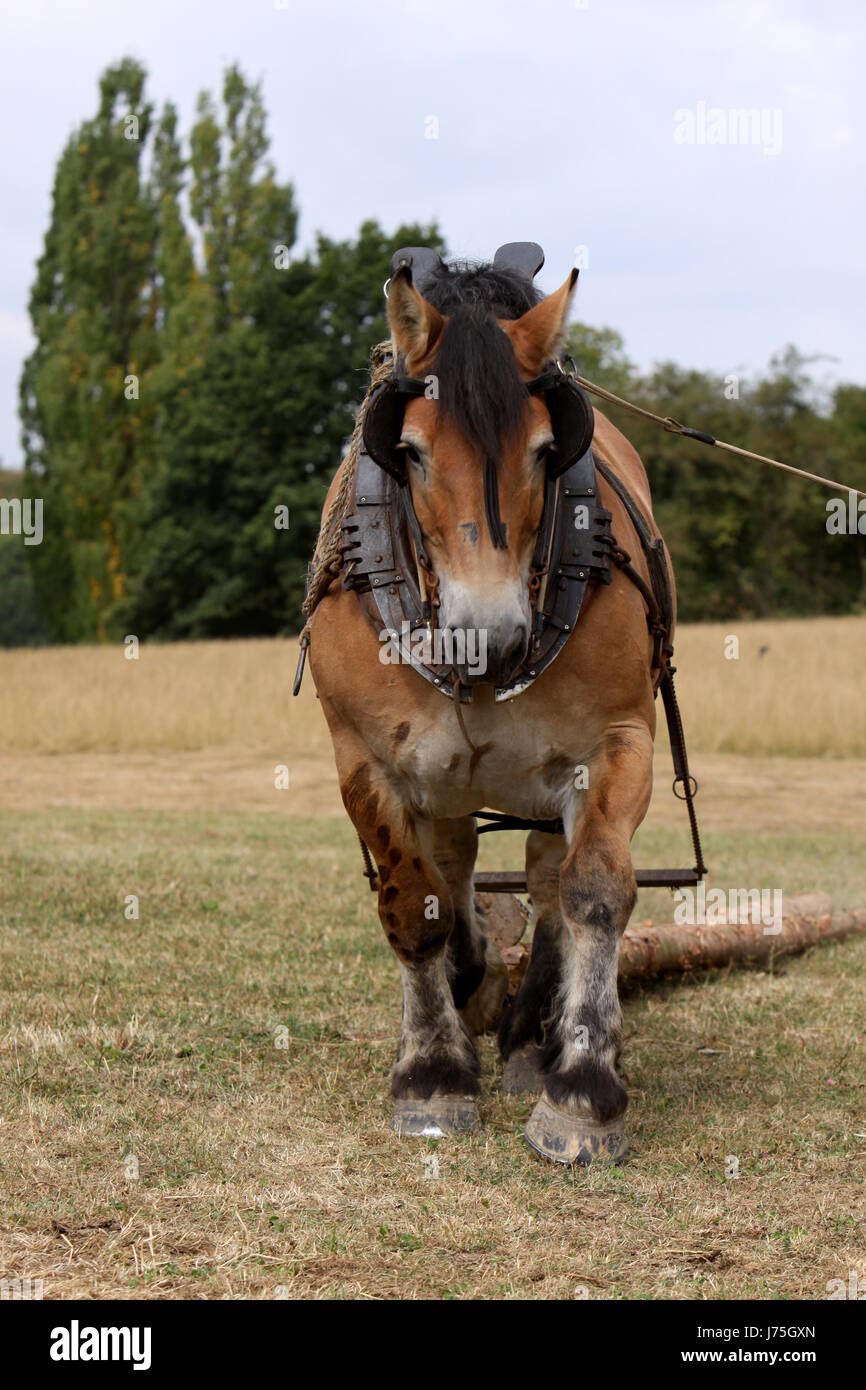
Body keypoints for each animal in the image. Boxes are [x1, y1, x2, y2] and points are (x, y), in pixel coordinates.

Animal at [307, 251, 674, 1165]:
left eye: (546, 450)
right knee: (455, 862)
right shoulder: (367, 761)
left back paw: (531, 1033)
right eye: (408, 451)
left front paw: (582, 1088)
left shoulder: (616, 744)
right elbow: (414, 903)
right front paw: (432, 1071)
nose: (493, 639)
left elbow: (594, 891)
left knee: (546, 879)